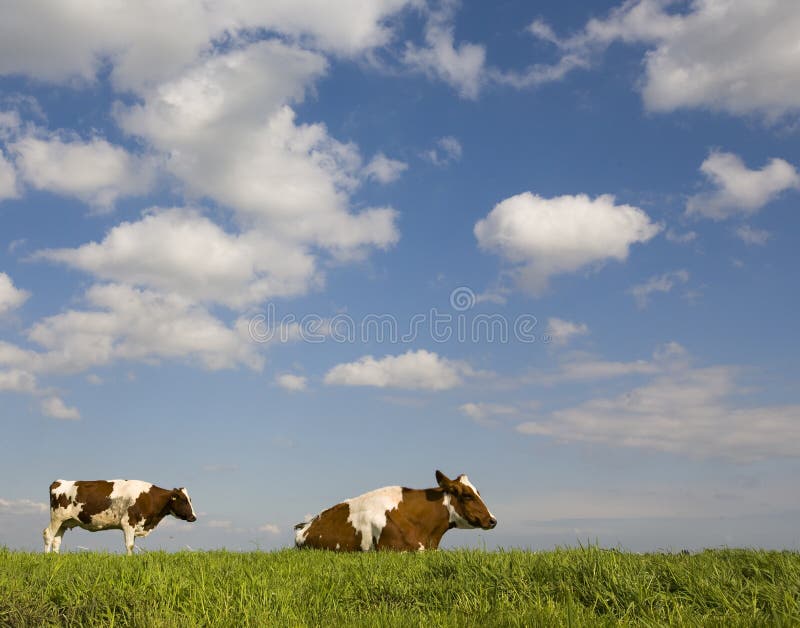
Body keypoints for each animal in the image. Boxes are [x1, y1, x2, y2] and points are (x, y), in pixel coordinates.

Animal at [43, 479, 197, 555]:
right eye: (184, 500)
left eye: (190, 499)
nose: (194, 517)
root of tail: (59, 481)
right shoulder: (128, 523)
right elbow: (130, 545)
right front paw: (130, 560)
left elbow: (132, 544)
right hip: (57, 518)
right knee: (48, 534)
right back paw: (47, 557)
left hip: (64, 522)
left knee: (57, 540)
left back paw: (56, 558)